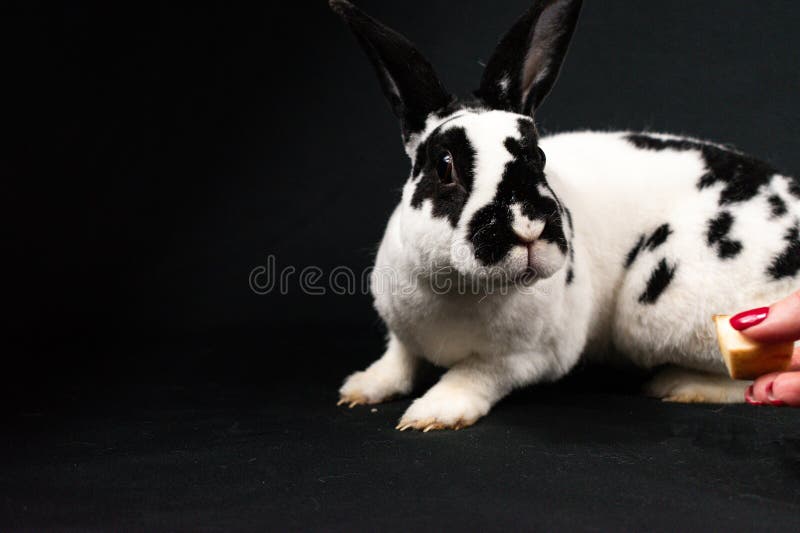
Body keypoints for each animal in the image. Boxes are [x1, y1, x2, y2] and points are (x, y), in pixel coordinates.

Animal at [329, 0, 800, 431]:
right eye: (445, 166)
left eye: (538, 156)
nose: (528, 226)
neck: (460, 286)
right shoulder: (402, 333)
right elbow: (399, 359)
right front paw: (360, 389)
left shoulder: (531, 356)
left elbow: (476, 374)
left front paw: (433, 413)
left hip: (661, 310)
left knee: (753, 375)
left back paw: (681, 385)